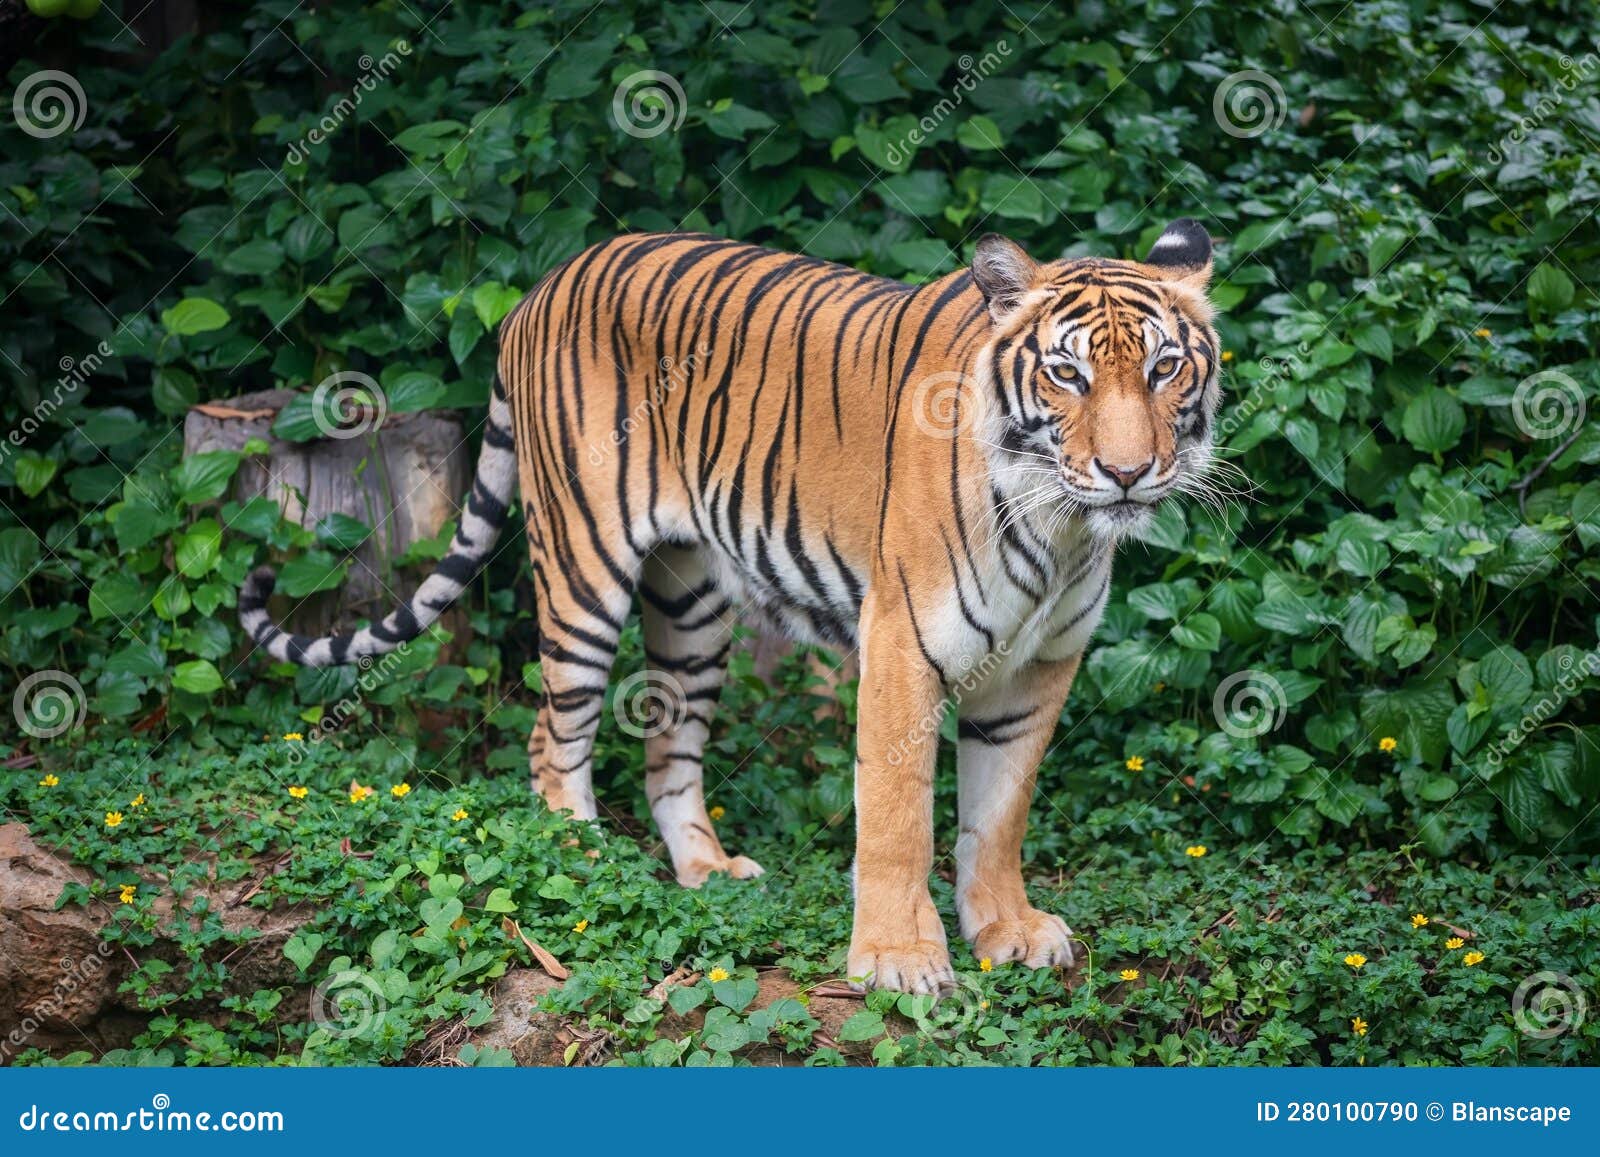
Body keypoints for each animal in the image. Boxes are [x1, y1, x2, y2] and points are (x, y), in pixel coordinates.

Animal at [239, 219, 1222, 995]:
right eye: (1067, 375)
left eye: (1166, 368)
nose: (1128, 472)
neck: (1063, 527)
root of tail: (540, 286)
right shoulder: (903, 643)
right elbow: (896, 813)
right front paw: (898, 958)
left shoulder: (1040, 667)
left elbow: (1000, 813)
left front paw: (1005, 930)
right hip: (583, 566)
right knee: (553, 734)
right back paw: (579, 862)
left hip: (692, 604)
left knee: (668, 748)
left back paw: (706, 870)